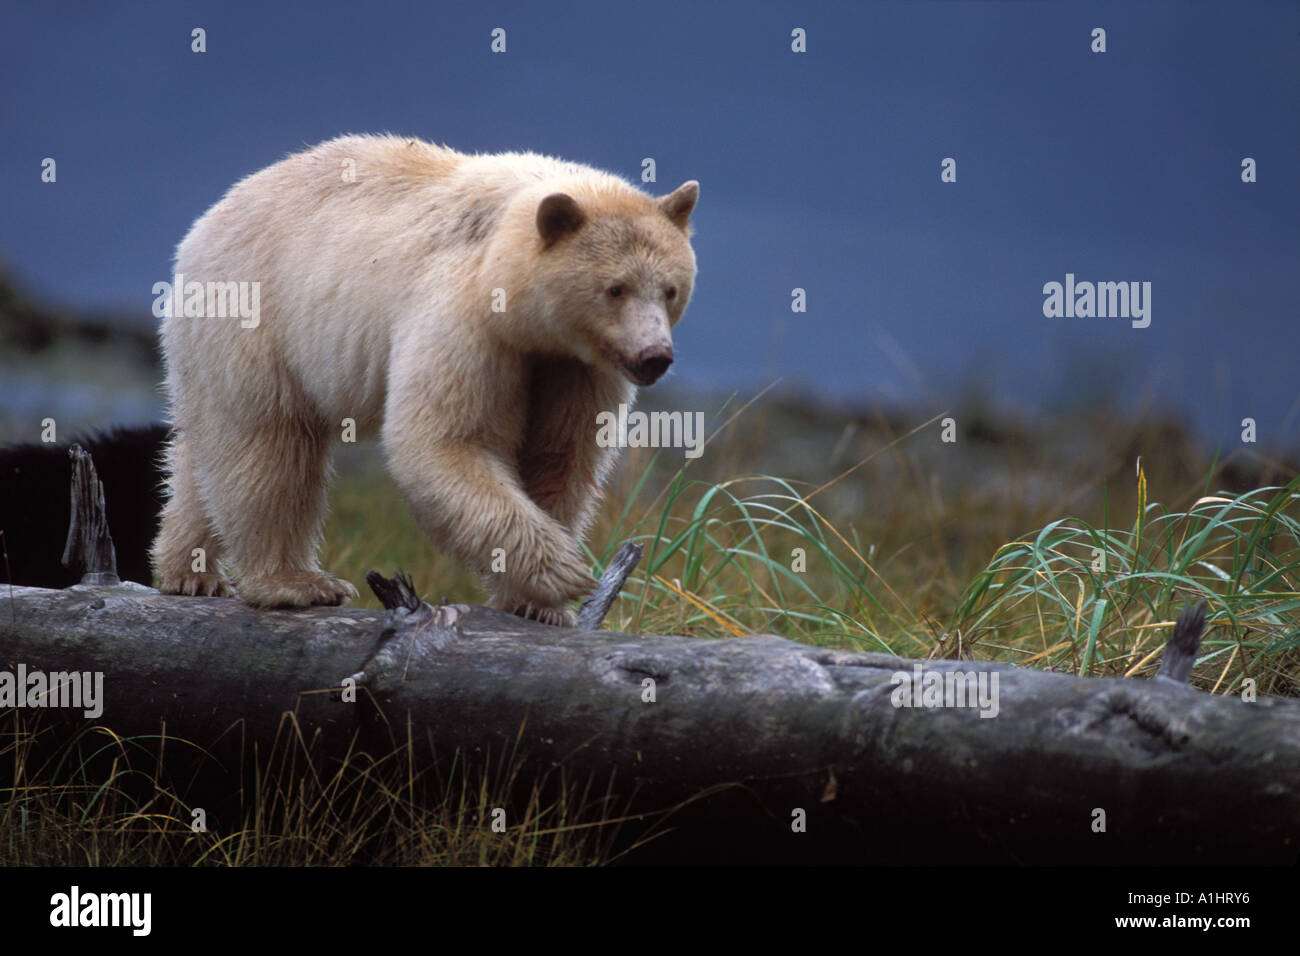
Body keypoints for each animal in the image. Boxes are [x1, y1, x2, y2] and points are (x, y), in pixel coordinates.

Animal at [150, 134, 699, 625]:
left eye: (670, 289)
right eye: (615, 289)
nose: (655, 356)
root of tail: (203, 225)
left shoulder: (575, 366)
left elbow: (559, 454)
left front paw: (537, 603)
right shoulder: (467, 318)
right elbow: (445, 441)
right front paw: (564, 572)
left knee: (209, 455)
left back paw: (189, 570)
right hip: (256, 318)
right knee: (269, 448)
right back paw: (295, 583)